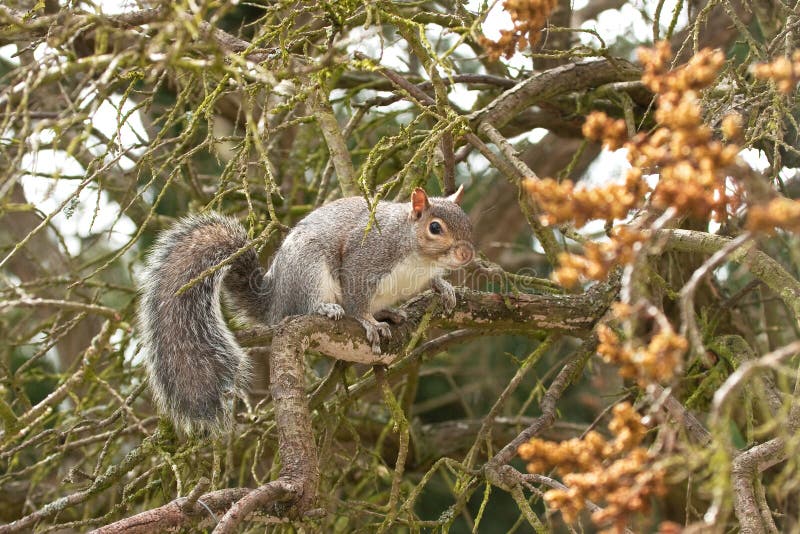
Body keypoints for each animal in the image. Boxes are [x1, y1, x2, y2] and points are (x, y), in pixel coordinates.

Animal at [138, 186, 474, 434]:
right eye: (434, 228)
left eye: (467, 222)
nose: (467, 255)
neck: (419, 256)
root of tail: (275, 301)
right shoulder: (365, 258)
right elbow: (356, 299)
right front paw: (367, 322)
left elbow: (432, 281)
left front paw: (444, 288)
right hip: (309, 268)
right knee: (309, 305)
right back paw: (330, 309)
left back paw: (389, 313)